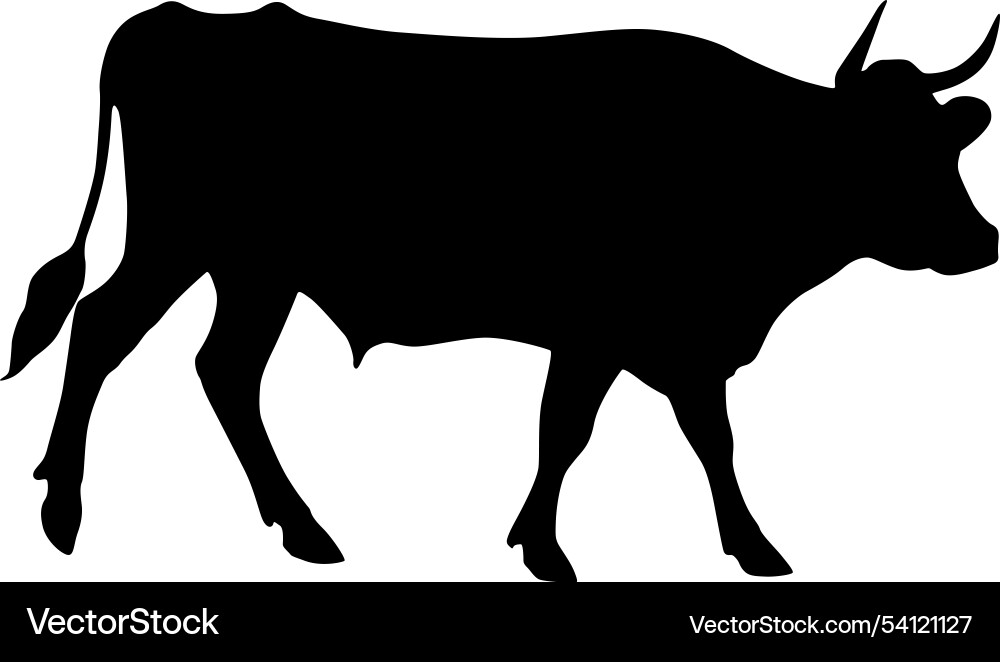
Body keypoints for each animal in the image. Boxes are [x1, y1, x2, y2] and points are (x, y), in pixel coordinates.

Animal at [3, 1, 998, 581]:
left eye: (945, 148)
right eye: (886, 153)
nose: (981, 242)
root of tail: (172, 19)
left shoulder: (663, 342)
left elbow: (687, 437)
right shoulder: (610, 330)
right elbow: (581, 432)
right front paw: (554, 549)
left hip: (255, 272)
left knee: (222, 371)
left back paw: (300, 527)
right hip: (180, 242)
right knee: (101, 329)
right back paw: (62, 512)